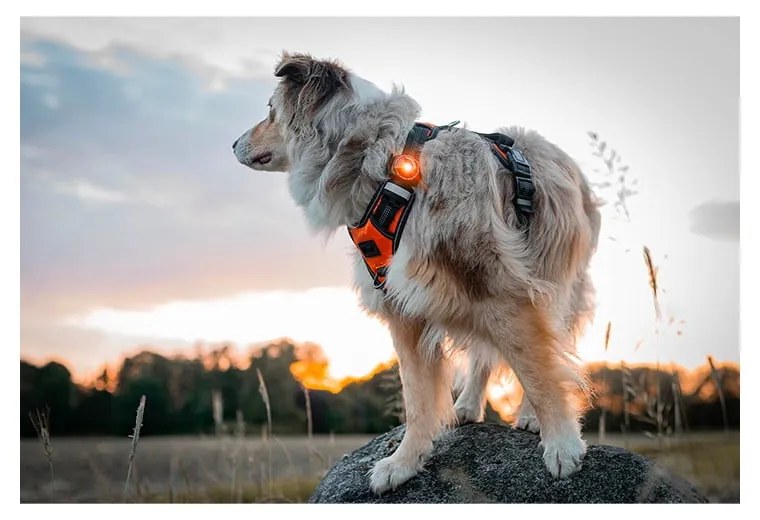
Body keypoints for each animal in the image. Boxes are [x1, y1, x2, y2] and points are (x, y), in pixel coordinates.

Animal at [235, 53, 604, 496]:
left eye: (270, 111)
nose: (233, 144)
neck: (388, 167)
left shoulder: (501, 287)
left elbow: (536, 369)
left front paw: (562, 444)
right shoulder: (404, 306)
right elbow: (417, 397)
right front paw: (404, 463)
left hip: (557, 279)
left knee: (547, 343)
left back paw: (531, 416)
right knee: (484, 354)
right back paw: (467, 405)